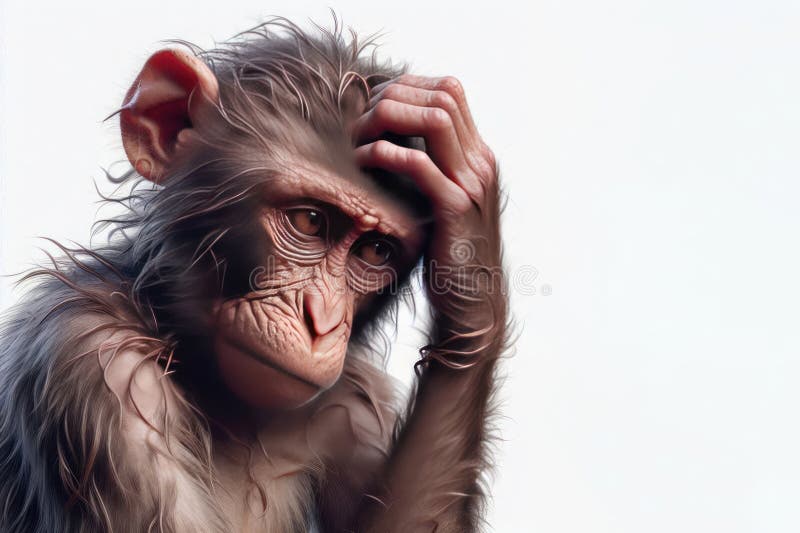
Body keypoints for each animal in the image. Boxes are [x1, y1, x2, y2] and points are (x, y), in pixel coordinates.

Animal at [0, 17, 508, 533]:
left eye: (374, 250)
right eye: (309, 221)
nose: (321, 320)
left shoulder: (353, 406)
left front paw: (469, 235)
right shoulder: (94, 361)